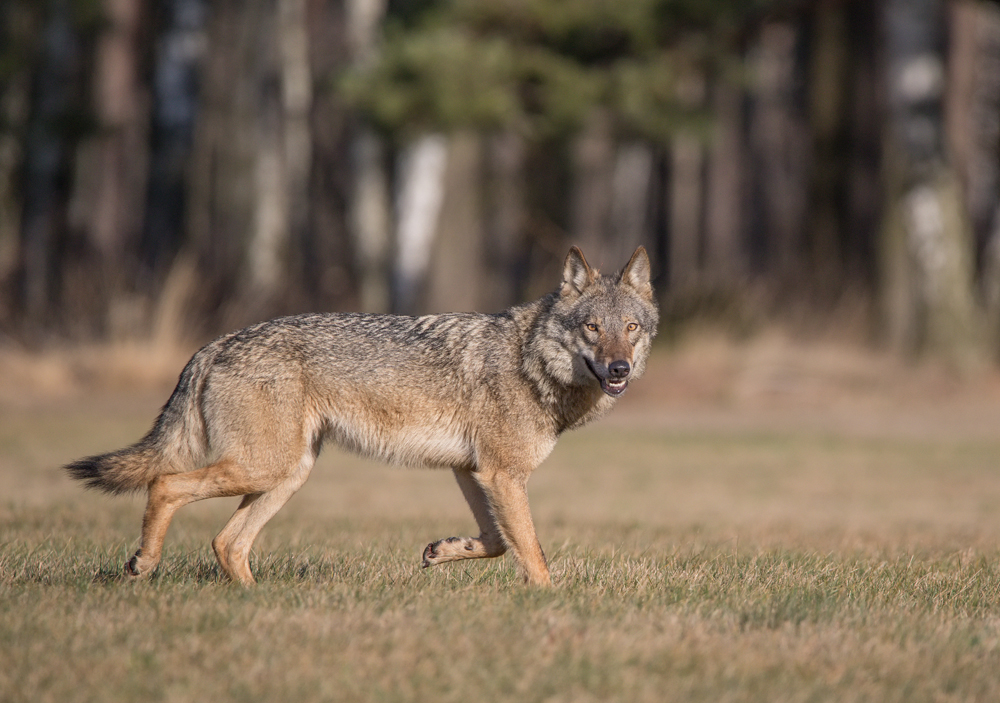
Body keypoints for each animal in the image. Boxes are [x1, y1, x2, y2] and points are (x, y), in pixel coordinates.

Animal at [65, 246, 658, 586]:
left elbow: (494, 543)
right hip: (262, 469)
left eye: (630, 327)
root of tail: (217, 342)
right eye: (592, 328)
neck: (530, 362)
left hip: (287, 475)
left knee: (227, 544)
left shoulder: (474, 472)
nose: (620, 369)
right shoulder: (502, 475)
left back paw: (258, 602)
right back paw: (143, 564)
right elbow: (532, 553)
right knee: (165, 484)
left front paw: (442, 552)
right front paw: (548, 605)